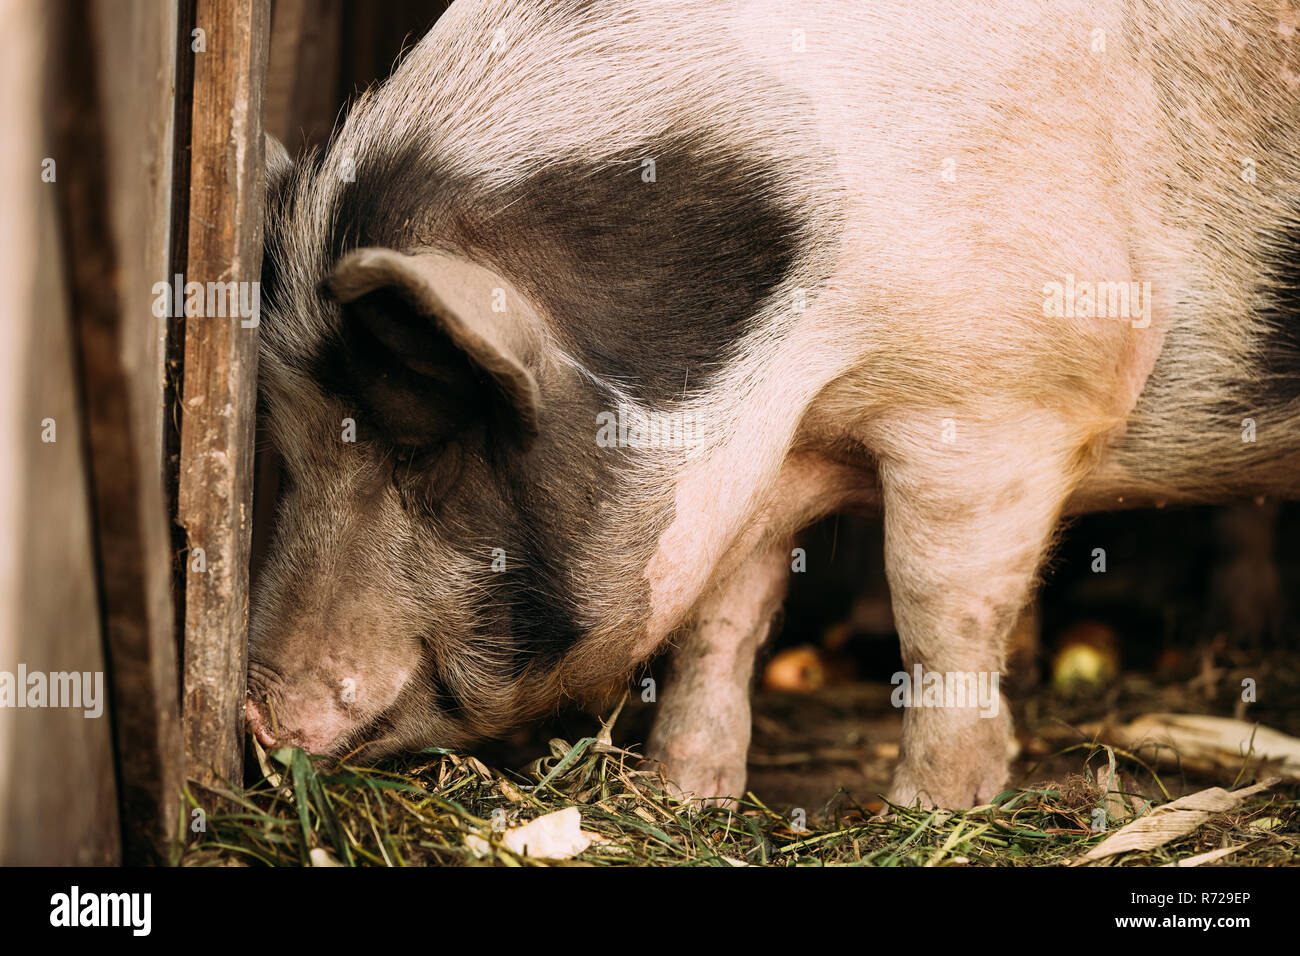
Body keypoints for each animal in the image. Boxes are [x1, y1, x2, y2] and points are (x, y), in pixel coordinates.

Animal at [247, 0, 1300, 808]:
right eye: (288, 453)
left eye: (418, 445)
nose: (253, 709)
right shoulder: (753, 459)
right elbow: (724, 619)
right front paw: (684, 794)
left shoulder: (1009, 396)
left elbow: (938, 604)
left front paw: (929, 808)